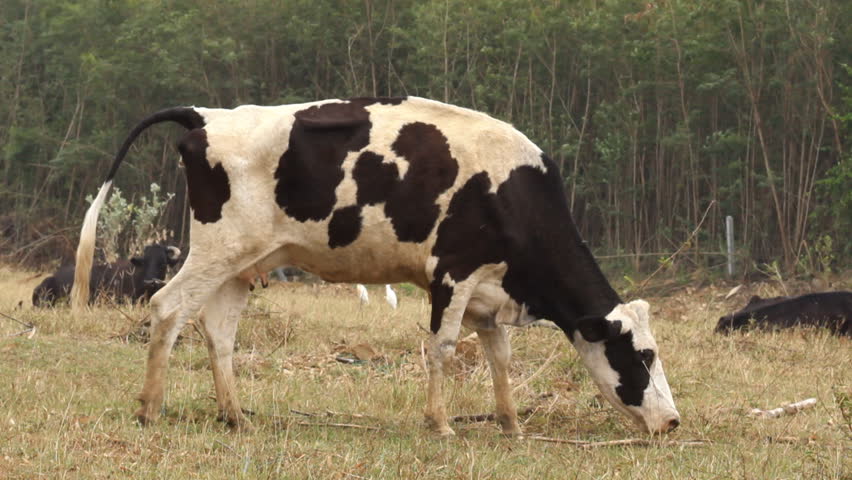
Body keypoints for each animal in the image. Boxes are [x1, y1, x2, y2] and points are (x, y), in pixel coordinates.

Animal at [72, 97, 680, 435]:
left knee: (218, 332)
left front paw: (509, 424)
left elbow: (499, 356)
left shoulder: (488, 291)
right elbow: (443, 348)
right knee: (167, 307)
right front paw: (440, 424)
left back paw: (235, 416)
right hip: (215, 249)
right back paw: (150, 408)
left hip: (241, 264)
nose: (673, 421)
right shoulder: (450, 275)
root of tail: (209, 115)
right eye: (642, 356)